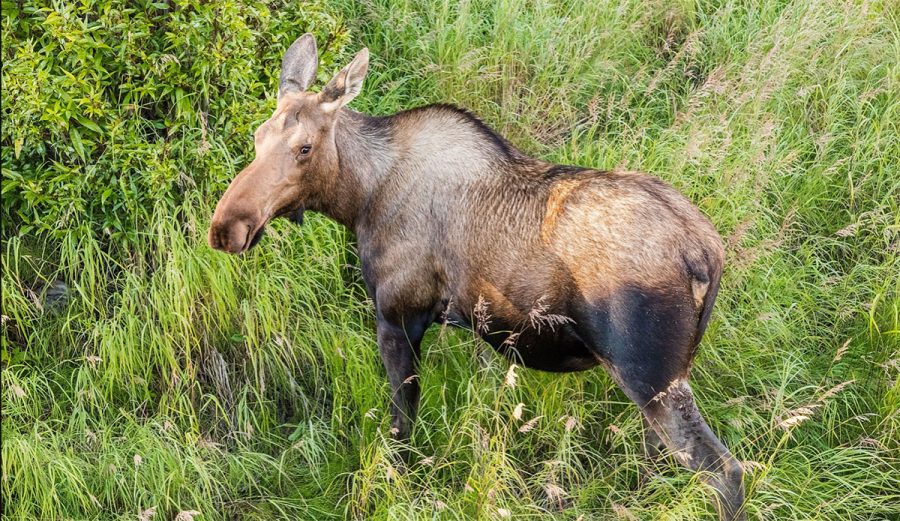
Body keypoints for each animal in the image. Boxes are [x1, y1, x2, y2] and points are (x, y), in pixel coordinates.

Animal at [208, 34, 746, 520]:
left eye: (304, 148)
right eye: (257, 137)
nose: (227, 228)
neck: (358, 197)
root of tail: (707, 255)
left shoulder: (397, 317)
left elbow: (401, 429)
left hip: (648, 372)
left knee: (726, 471)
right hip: (661, 376)